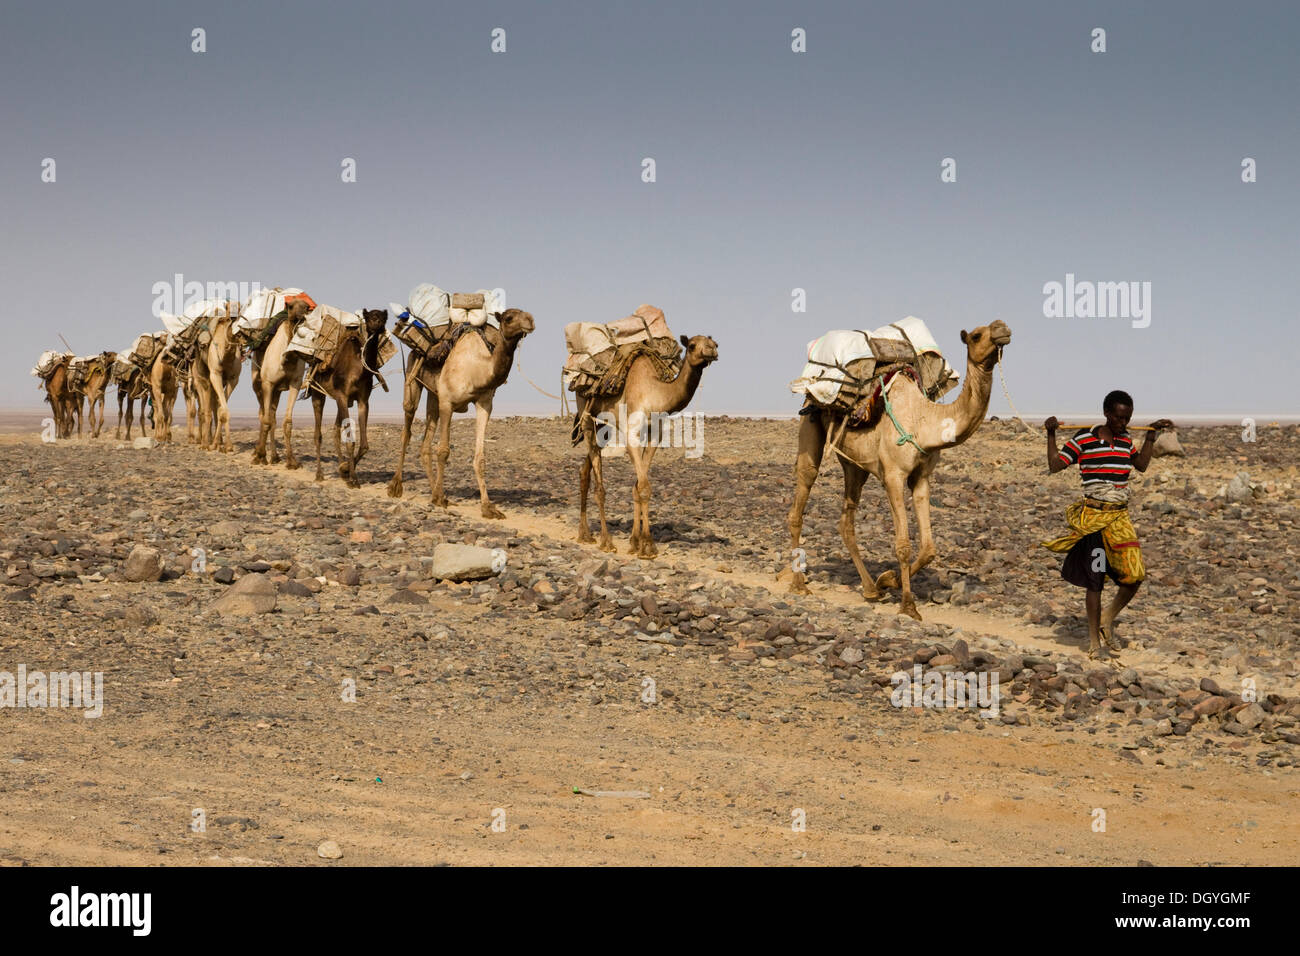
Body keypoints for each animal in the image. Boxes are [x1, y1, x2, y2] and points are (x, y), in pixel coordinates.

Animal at [249, 297, 314, 467]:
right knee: (263, 414)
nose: (301, 315)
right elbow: (266, 420)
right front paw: (260, 456)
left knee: (272, 415)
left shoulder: (295, 384)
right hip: (258, 385)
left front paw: (292, 461)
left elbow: (287, 422)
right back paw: (259, 453)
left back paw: (274, 456)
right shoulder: (268, 383)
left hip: (277, 391)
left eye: (307, 307)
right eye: (290, 306)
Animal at [309, 308, 389, 486]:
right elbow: (350, 441)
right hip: (318, 392)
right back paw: (319, 474)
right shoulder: (342, 396)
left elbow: (364, 444)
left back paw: (341, 468)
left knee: (335, 430)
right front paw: (353, 478)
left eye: (383, 317)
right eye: (369, 317)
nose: (377, 324)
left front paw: (345, 469)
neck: (359, 369)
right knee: (318, 434)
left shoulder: (363, 400)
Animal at [387, 309, 535, 516]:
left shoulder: (484, 404)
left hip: (434, 395)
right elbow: (443, 451)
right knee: (406, 429)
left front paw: (488, 507)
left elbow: (480, 457)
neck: (478, 369)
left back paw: (435, 491)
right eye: (508, 318)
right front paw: (439, 499)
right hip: (412, 377)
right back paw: (396, 486)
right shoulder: (447, 402)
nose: (530, 321)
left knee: (425, 443)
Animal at [575, 334, 719, 558]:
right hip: (588, 415)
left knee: (584, 471)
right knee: (599, 485)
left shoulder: (653, 435)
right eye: (692, 345)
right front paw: (648, 546)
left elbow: (638, 487)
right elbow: (643, 487)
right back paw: (606, 541)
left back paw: (585, 534)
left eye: (715, 343)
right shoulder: (631, 434)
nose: (712, 350)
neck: (655, 394)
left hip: (604, 428)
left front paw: (636, 542)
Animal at [785, 320, 1012, 620]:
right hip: (811, 419)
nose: (1002, 329)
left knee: (846, 520)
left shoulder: (922, 477)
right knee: (802, 491)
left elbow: (929, 549)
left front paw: (887, 580)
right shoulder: (893, 475)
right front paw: (908, 605)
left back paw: (871, 588)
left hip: (856, 465)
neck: (925, 421)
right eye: (976, 335)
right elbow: (903, 545)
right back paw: (799, 584)